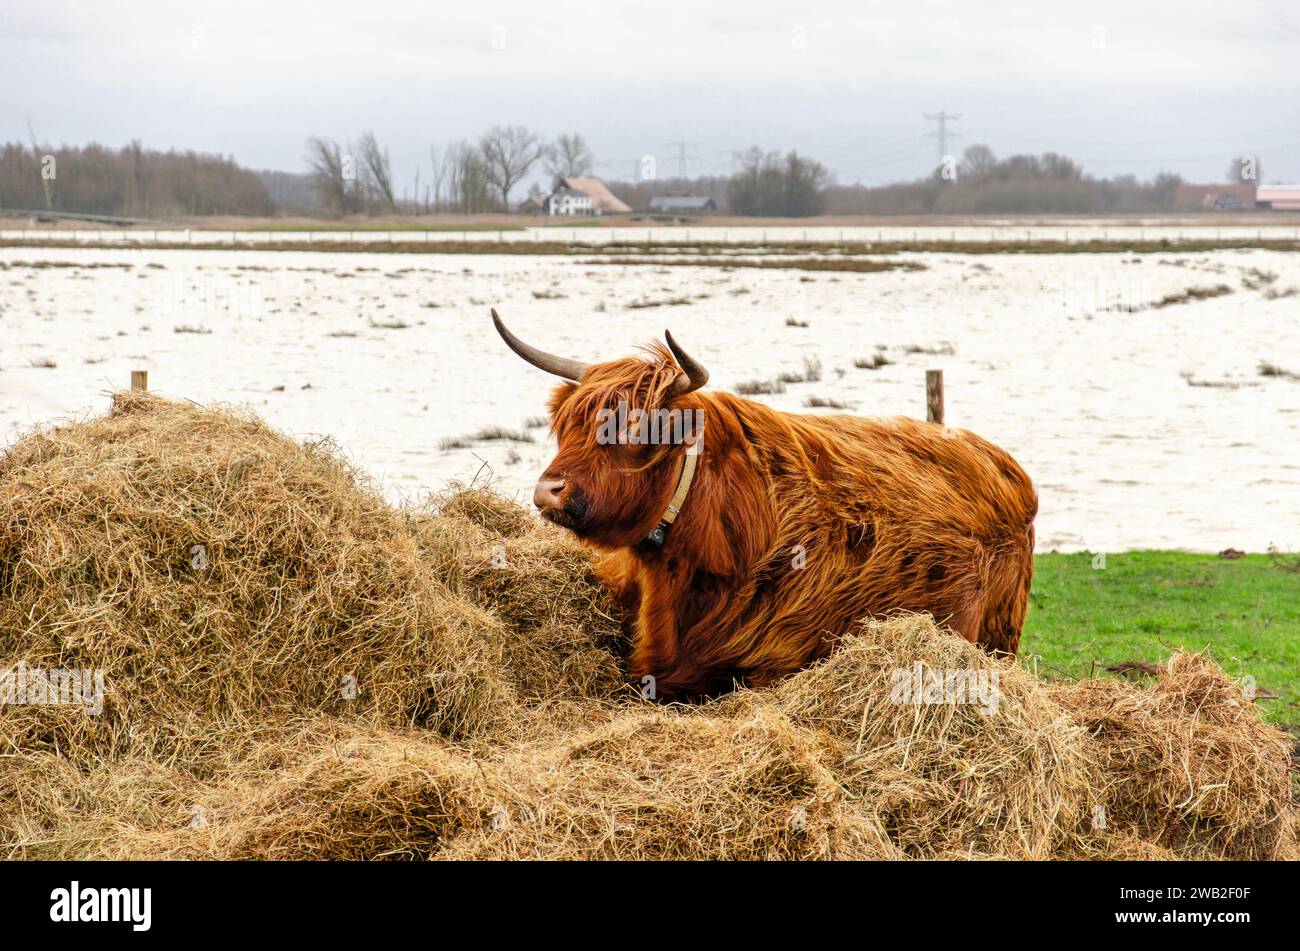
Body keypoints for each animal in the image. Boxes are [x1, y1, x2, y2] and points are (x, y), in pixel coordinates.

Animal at [492, 309, 1038, 700]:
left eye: (634, 428)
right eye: (567, 424)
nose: (548, 490)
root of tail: (998, 458)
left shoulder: (771, 663)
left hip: (998, 635)